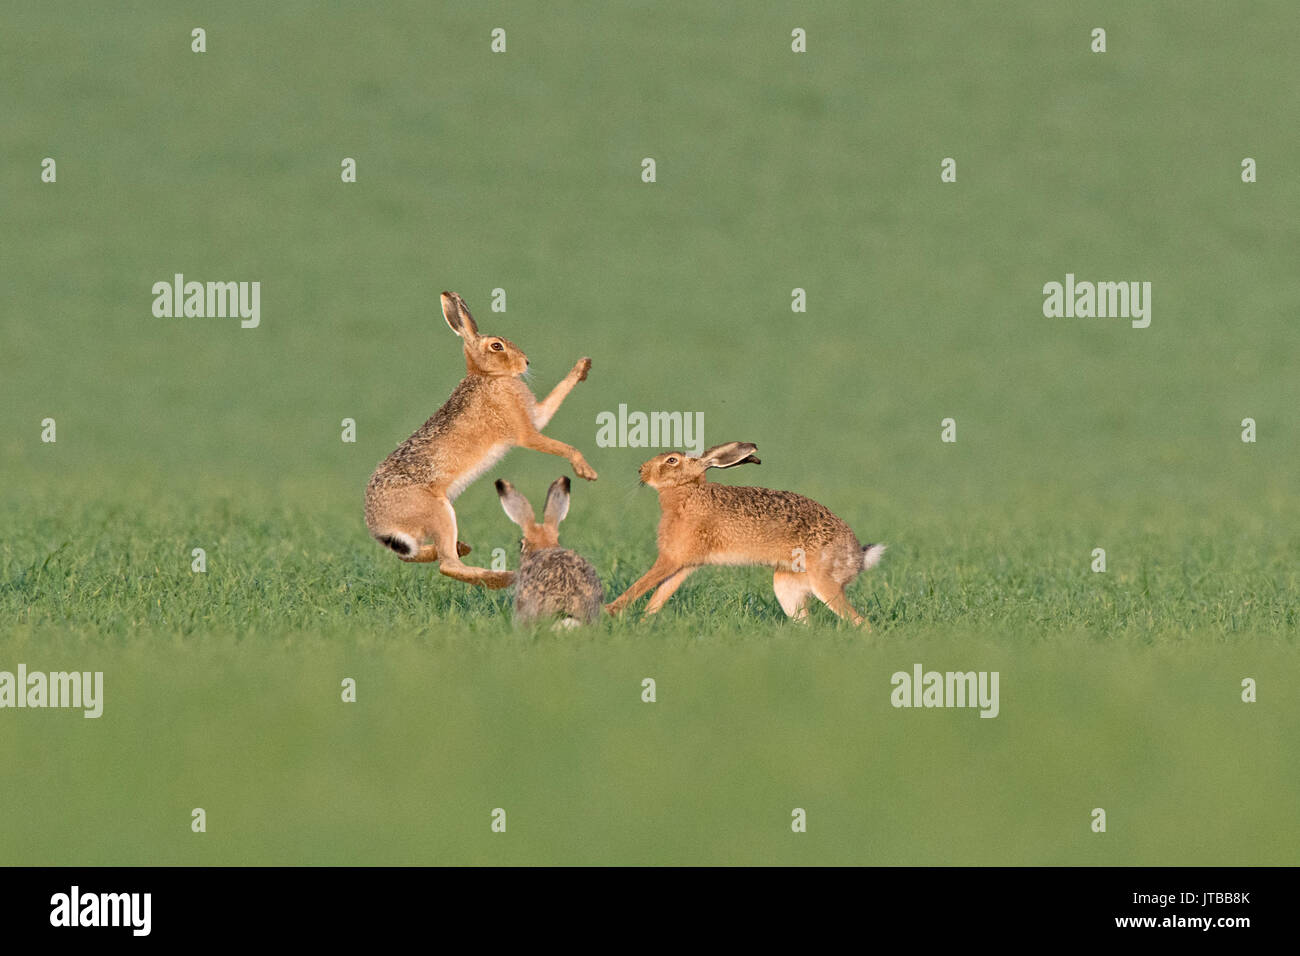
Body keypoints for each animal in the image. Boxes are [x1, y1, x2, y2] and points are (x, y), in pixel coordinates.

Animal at [364, 291, 597, 589]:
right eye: (497, 346)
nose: (526, 362)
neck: (487, 376)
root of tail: (379, 525)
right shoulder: (525, 432)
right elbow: (561, 446)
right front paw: (586, 472)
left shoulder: (535, 416)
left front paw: (582, 367)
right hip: (439, 512)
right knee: (448, 566)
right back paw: (502, 577)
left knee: (413, 556)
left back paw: (463, 548)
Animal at [605, 442, 886, 627]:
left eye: (672, 460)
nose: (641, 471)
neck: (688, 492)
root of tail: (858, 557)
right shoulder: (684, 563)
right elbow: (659, 594)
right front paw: (642, 623)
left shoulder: (671, 559)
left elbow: (643, 584)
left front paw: (610, 610)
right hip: (786, 585)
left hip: (824, 582)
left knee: (861, 623)